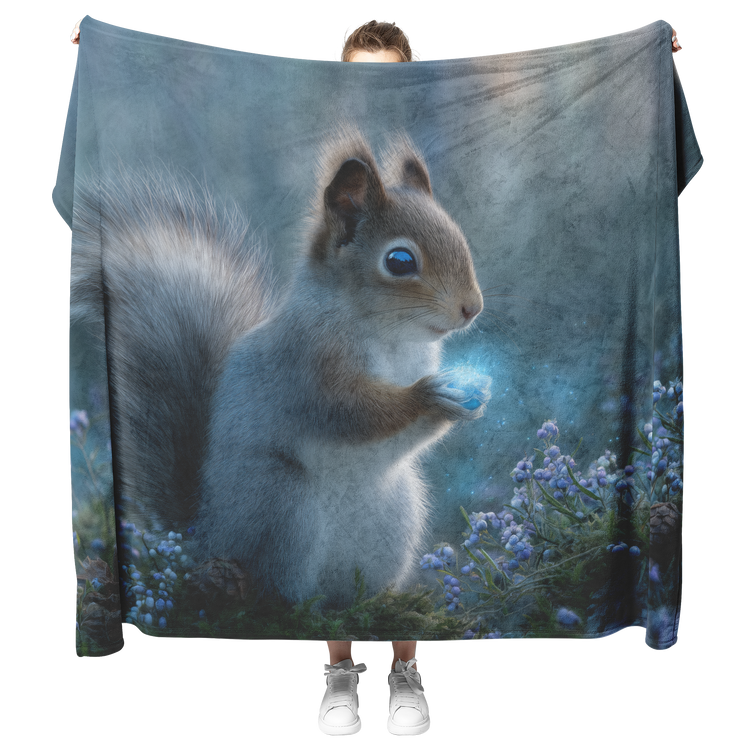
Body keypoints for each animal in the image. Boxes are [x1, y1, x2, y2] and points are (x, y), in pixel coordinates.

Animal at [68, 122, 492, 609]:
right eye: (399, 261)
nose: (472, 308)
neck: (394, 339)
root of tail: (204, 537)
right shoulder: (307, 365)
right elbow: (352, 412)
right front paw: (427, 394)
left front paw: (473, 396)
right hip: (283, 504)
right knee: (278, 586)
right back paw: (280, 600)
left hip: (396, 513)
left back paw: (364, 601)